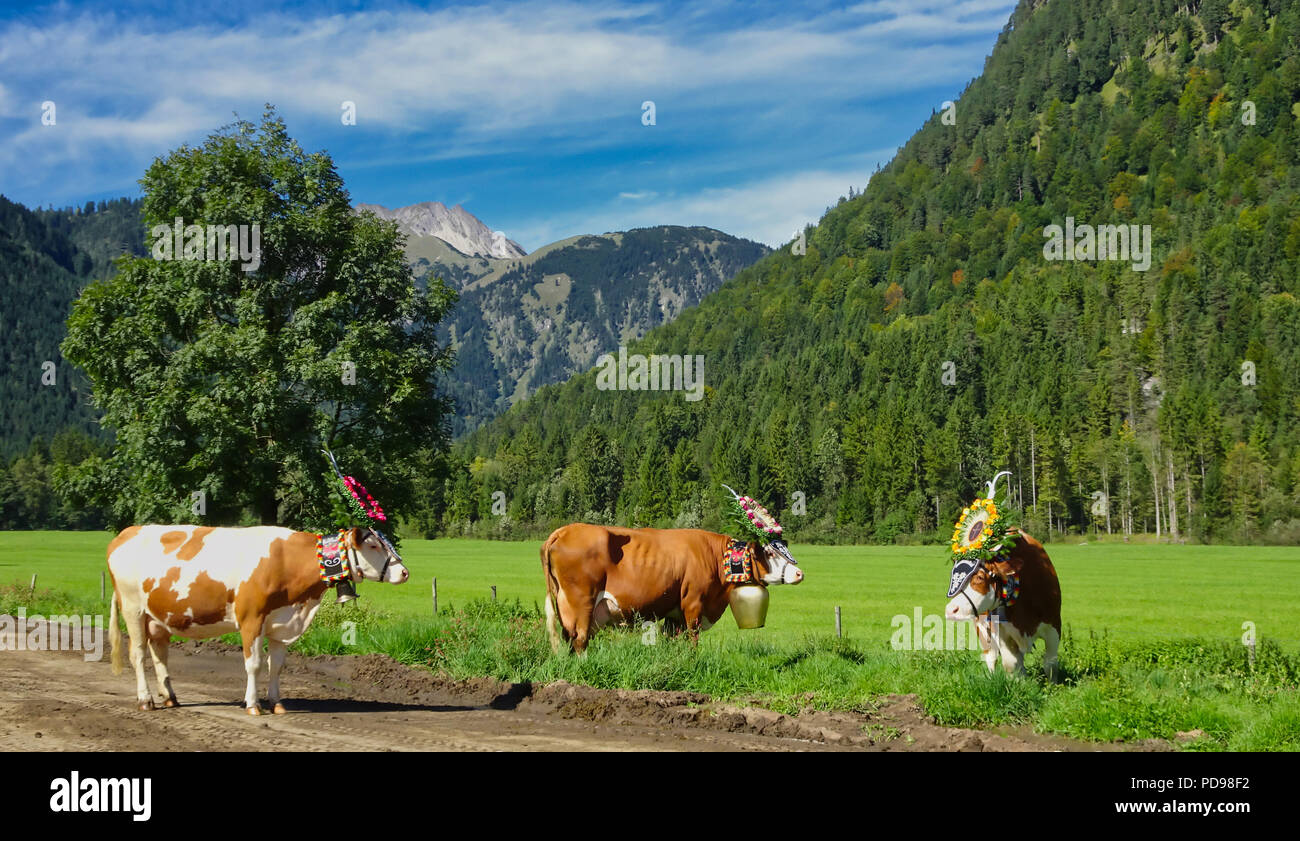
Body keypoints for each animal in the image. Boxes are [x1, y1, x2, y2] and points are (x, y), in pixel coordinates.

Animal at [106, 525, 408, 714]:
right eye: (373, 545)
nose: (404, 573)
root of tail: (126, 533)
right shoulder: (251, 619)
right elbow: (254, 665)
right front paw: (253, 705)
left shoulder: (282, 623)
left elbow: (276, 667)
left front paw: (276, 704)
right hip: (133, 608)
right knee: (138, 654)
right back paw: (145, 700)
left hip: (157, 616)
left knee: (159, 653)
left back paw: (170, 697)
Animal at [540, 524, 803, 653]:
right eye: (770, 552)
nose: (800, 573)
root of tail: (566, 529)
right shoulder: (694, 603)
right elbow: (692, 638)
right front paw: (693, 661)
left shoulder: (674, 612)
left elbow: (672, 640)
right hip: (580, 602)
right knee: (580, 639)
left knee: (570, 638)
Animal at [944, 527, 1061, 680]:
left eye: (980, 577)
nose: (951, 610)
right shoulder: (1002, 632)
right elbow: (1010, 664)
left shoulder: (1054, 625)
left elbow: (1050, 664)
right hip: (982, 628)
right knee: (991, 657)